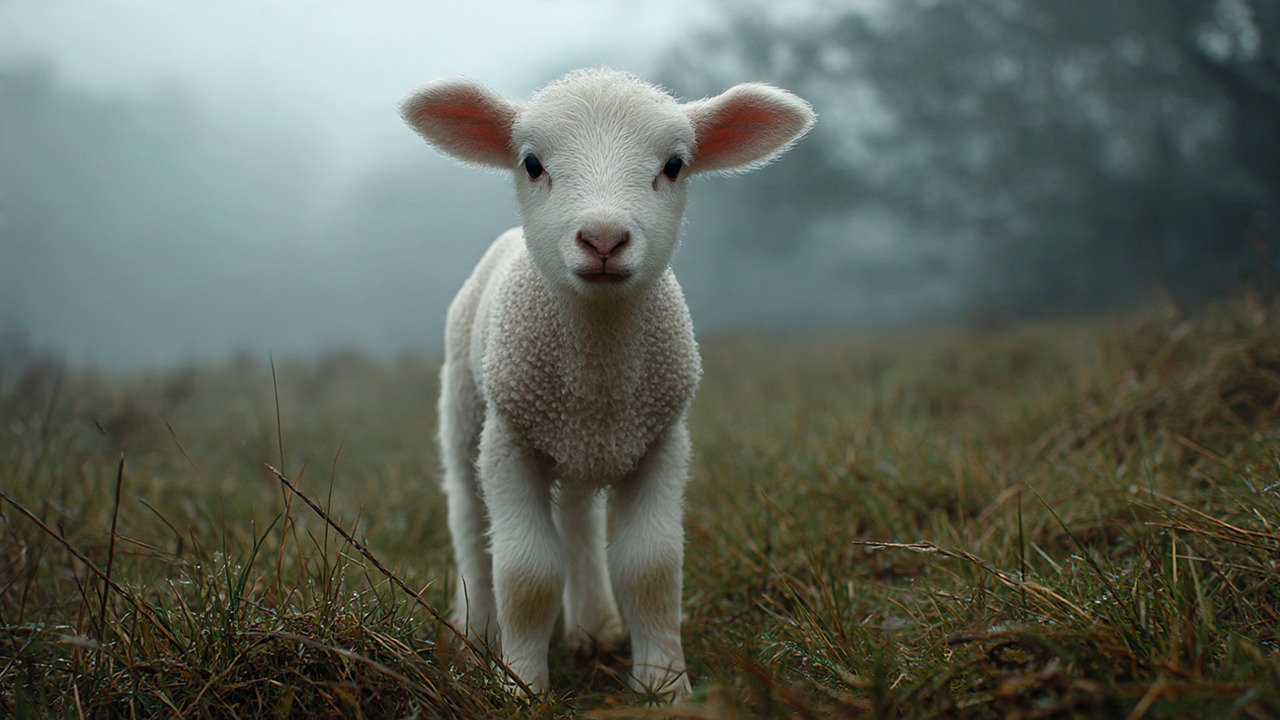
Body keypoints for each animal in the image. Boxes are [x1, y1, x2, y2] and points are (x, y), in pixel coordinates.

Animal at [401, 68, 814, 701]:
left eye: (674, 165)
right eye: (531, 163)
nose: (602, 240)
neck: (598, 374)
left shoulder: (662, 441)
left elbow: (651, 567)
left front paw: (665, 687)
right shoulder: (510, 442)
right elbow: (525, 572)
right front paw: (521, 688)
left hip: (576, 449)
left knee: (578, 522)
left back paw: (595, 627)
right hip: (466, 413)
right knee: (470, 526)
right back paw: (474, 636)